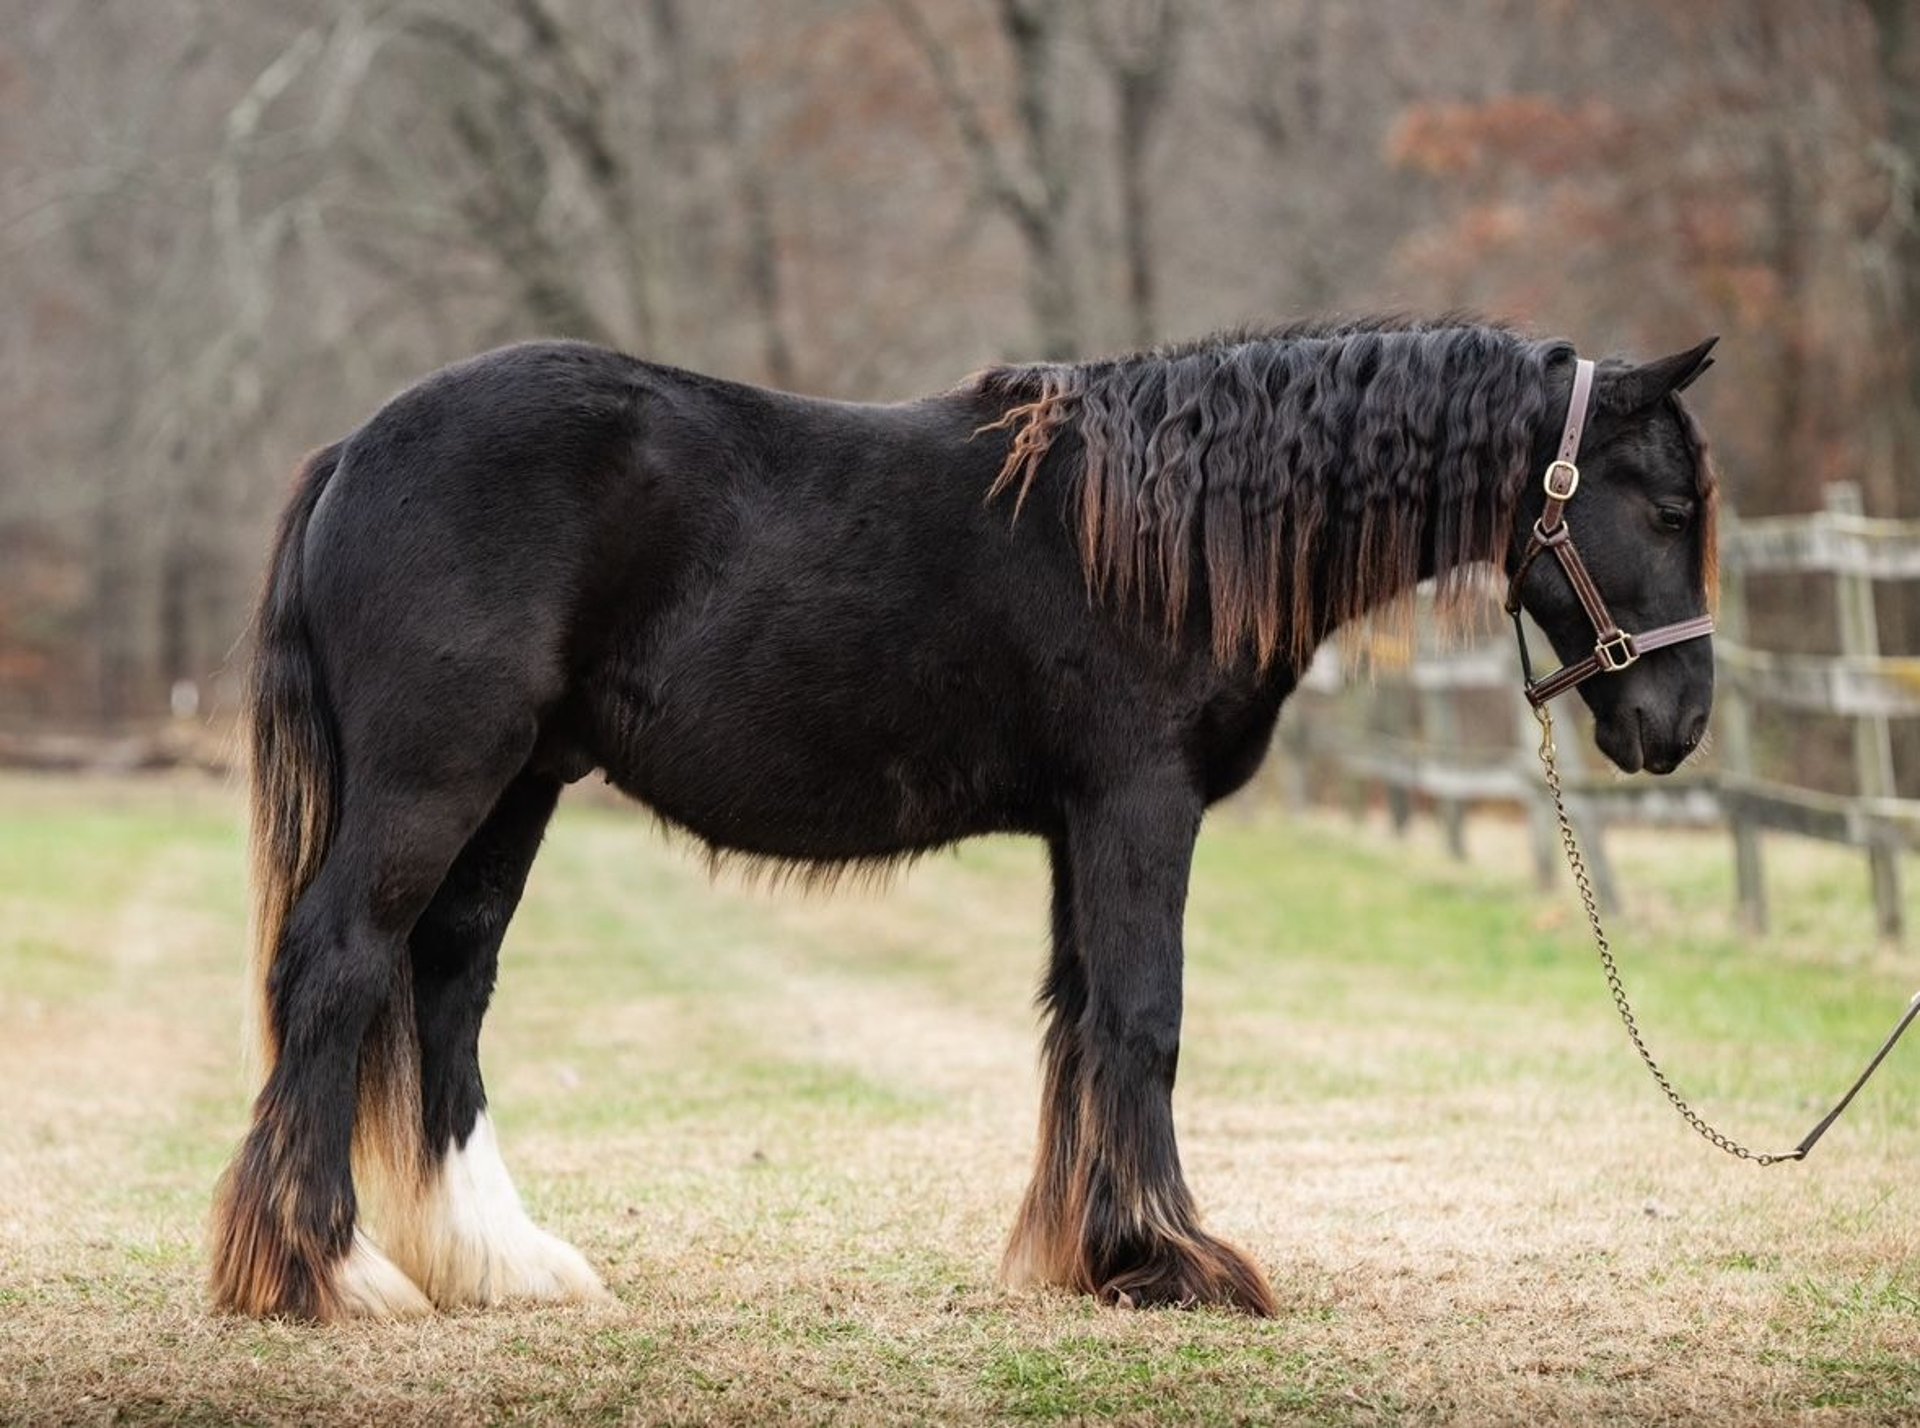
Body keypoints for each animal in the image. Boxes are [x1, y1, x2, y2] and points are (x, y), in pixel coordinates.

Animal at [208, 318, 1719, 1321]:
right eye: (1664, 503)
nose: (1679, 722)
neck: (1166, 527)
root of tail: (354, 451)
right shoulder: (1138, 805)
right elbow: (1144, 1020)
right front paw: (1174, 1261)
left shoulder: (1081, 826)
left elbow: (1080, 1021)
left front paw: (1097, 1254)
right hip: (438, 781)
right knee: (338, 967)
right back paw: (327, 1271)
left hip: (516, 788)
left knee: (445, 984)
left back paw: (499, 1262)